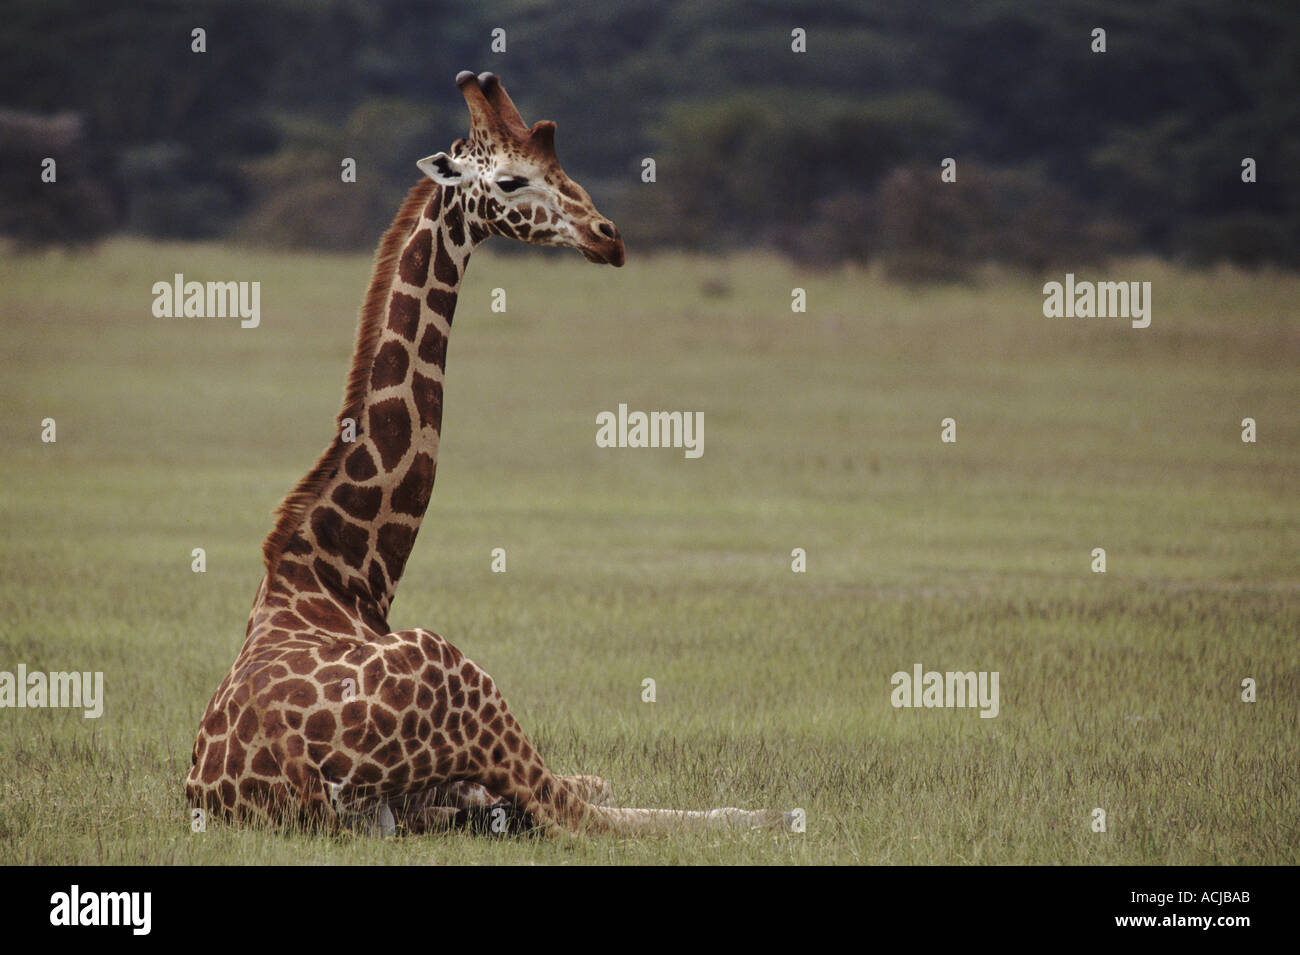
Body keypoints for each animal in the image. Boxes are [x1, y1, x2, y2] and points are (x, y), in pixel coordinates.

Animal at [185, 72, 791, 837]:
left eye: (562, 167)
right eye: (510, 179)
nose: (608, 238)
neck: (344, 572)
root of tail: (303, 788)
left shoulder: (433, 797)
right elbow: (589, 795)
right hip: (466, 684)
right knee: (583, 812)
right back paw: (773, 812)